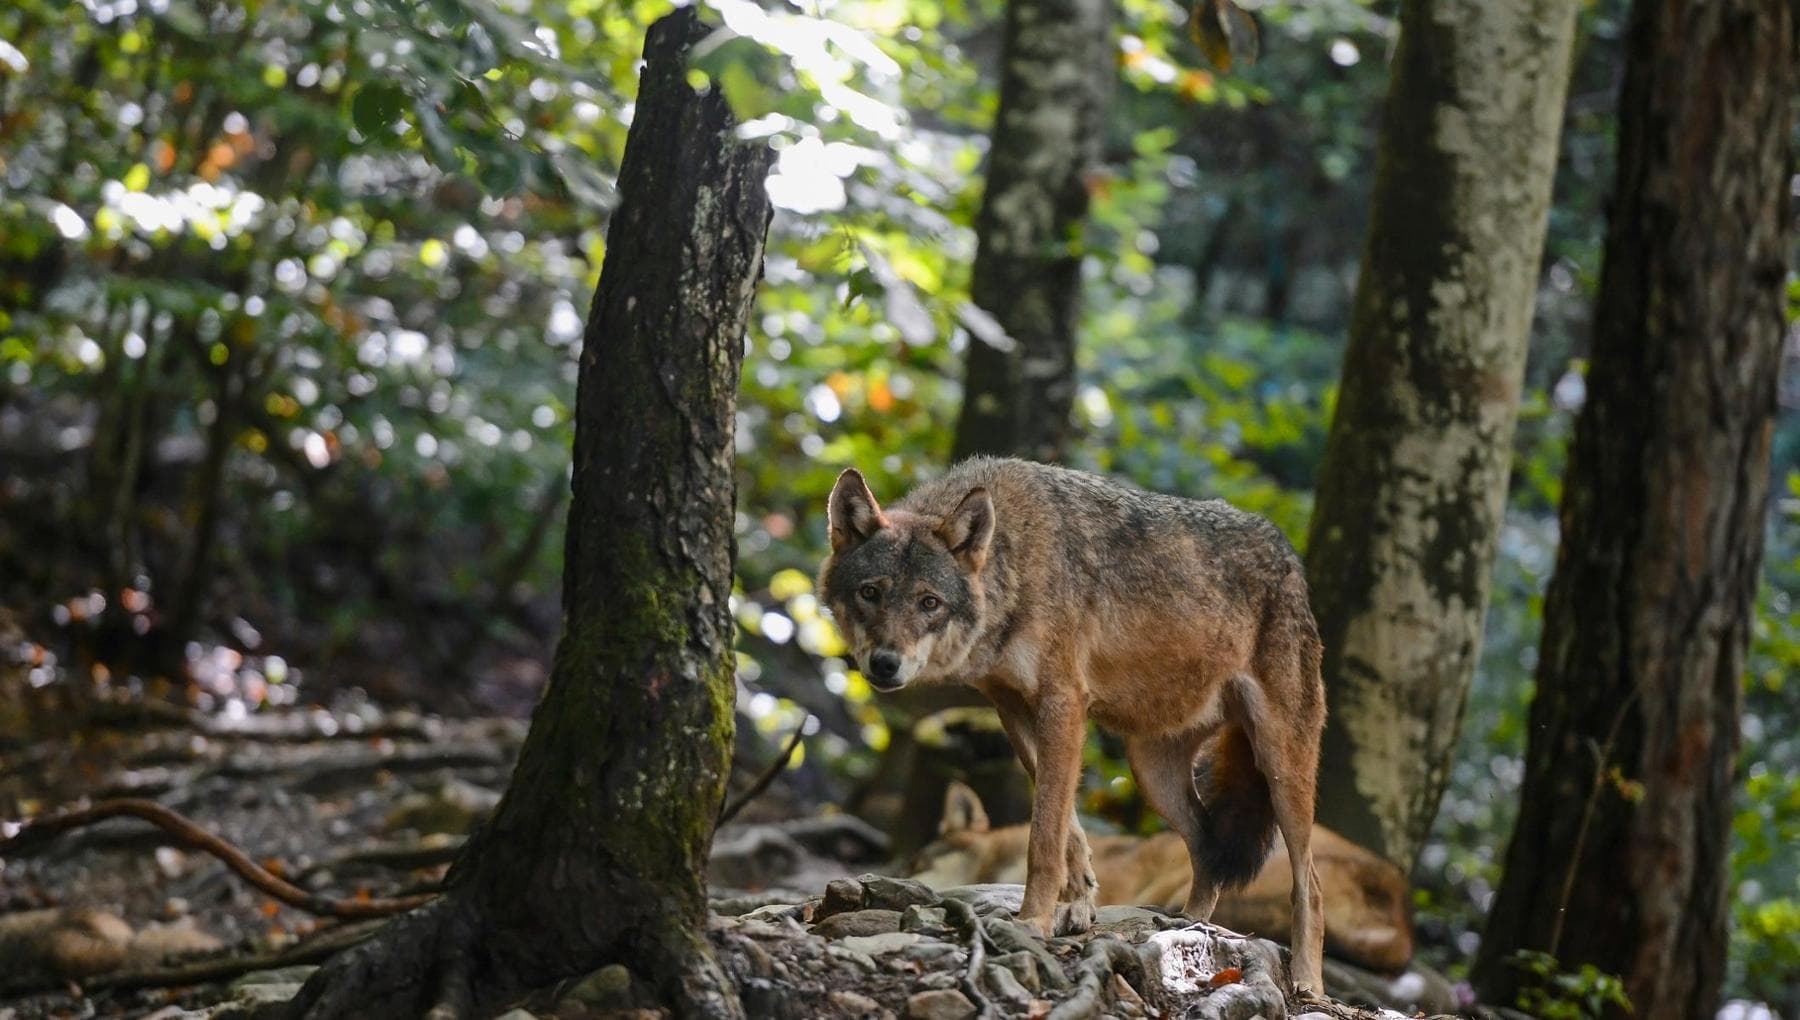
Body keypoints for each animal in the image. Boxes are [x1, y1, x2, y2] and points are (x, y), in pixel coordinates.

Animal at [816, 457, 1328, 995]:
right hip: (1152, 771)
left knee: (1309, 884)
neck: (1014, 560)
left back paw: (1307, 981)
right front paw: (1077, 907)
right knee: (1208, 849)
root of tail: (1287, 552)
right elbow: (1070, 830)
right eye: (870, 592)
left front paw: (1033, 921)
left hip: (1281, 768)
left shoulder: (1063, 705)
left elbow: (1044, 836)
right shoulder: (1013, 709)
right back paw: (1185, 927)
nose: (884, 664)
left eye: (929, 602)